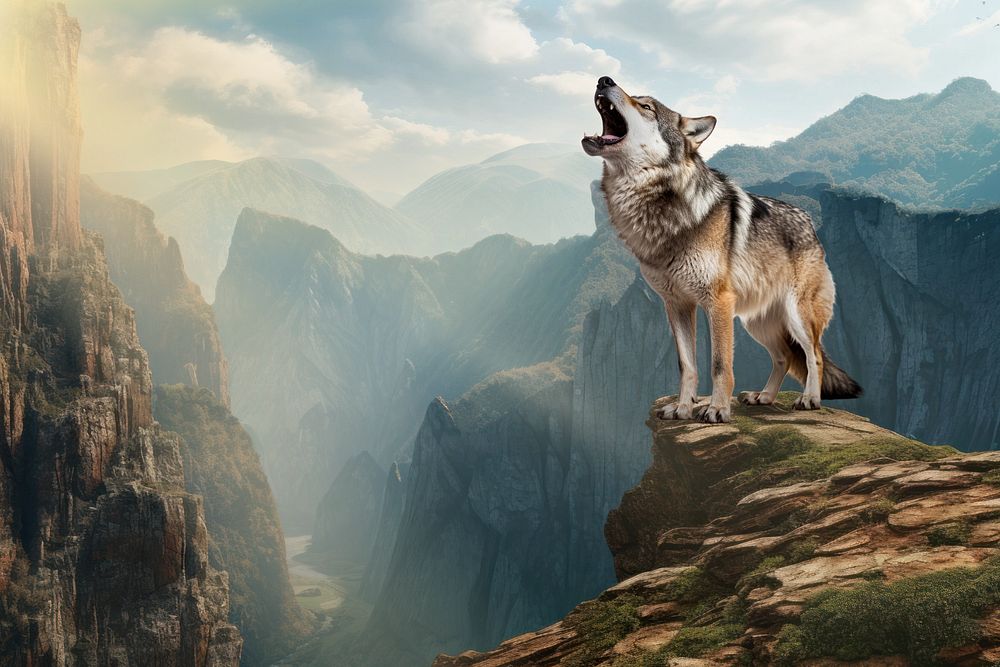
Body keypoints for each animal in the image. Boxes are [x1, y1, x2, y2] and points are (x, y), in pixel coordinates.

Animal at [582, 76, 861, 423]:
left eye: (646, 106)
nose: (604, 80)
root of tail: (810, 225)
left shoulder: (717, 303)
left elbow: (719, 365)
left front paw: (716, 409)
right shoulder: (677, 305)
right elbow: (687, 365)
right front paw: (683, 408)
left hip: (796, 316)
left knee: (814, 356)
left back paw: (809, 399)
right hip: (756, 323)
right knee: (783, 357)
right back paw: (763, 397)